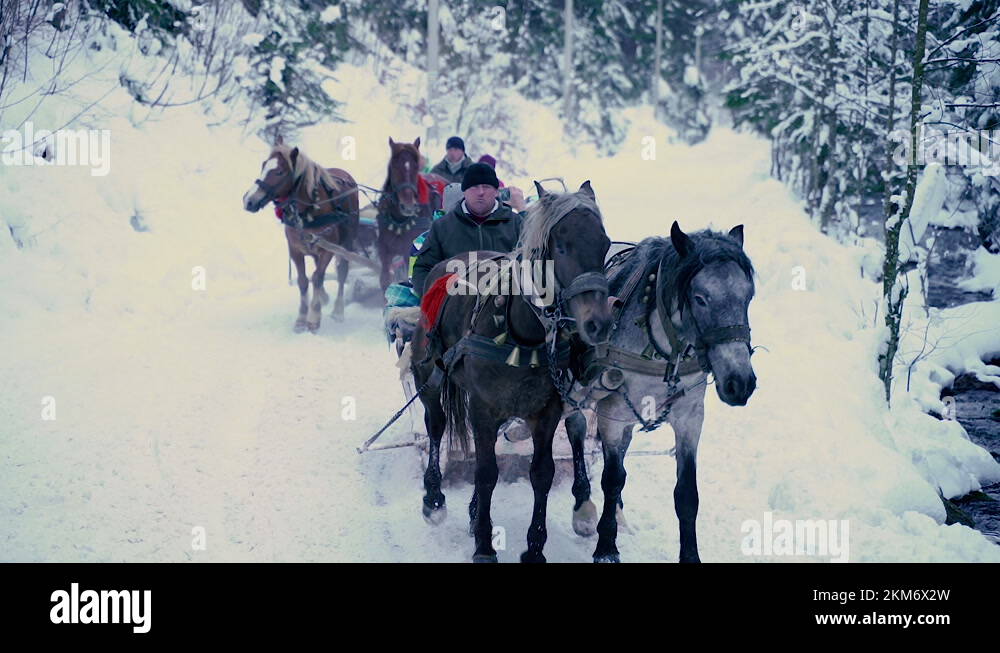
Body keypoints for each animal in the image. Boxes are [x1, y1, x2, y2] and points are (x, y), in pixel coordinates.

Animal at [242, 139, 360, 332]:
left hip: (347, 243)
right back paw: (324, 297)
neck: (308, 211)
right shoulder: (295, 250)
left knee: (342, 272)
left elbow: (317, 277)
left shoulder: (328, 250)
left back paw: (338, 310)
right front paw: (301, 317)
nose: (248, 200)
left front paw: (313, 317)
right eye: (263, 165)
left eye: (279, 172)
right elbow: (304, 280)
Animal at [376, 137, 447, 292]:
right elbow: (385, 279)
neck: (399, 219)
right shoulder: (384, 251)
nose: (408, 205)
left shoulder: (409, 251)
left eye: (416, 167)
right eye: (394, 166)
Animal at [410, 180, 614, 563]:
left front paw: (534, 548)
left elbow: (542, 473)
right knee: (437, 423)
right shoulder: (483, 408)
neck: (523, 336)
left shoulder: (545, 411)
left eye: (605, 243)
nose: (599, 324)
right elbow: (486, 472)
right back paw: (434, 498)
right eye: (561, 246)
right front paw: (484, 545)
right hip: (428, 375)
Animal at [564, 221, 757, 562]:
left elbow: (687, 494)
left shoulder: (690, 419)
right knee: (575, 428)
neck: (663, 352)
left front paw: (690, 556)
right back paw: (584, 508)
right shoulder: (612, 413)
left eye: (748, 296)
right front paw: (606, 546)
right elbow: (611, 479)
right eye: (700, 298)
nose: (740, 382)